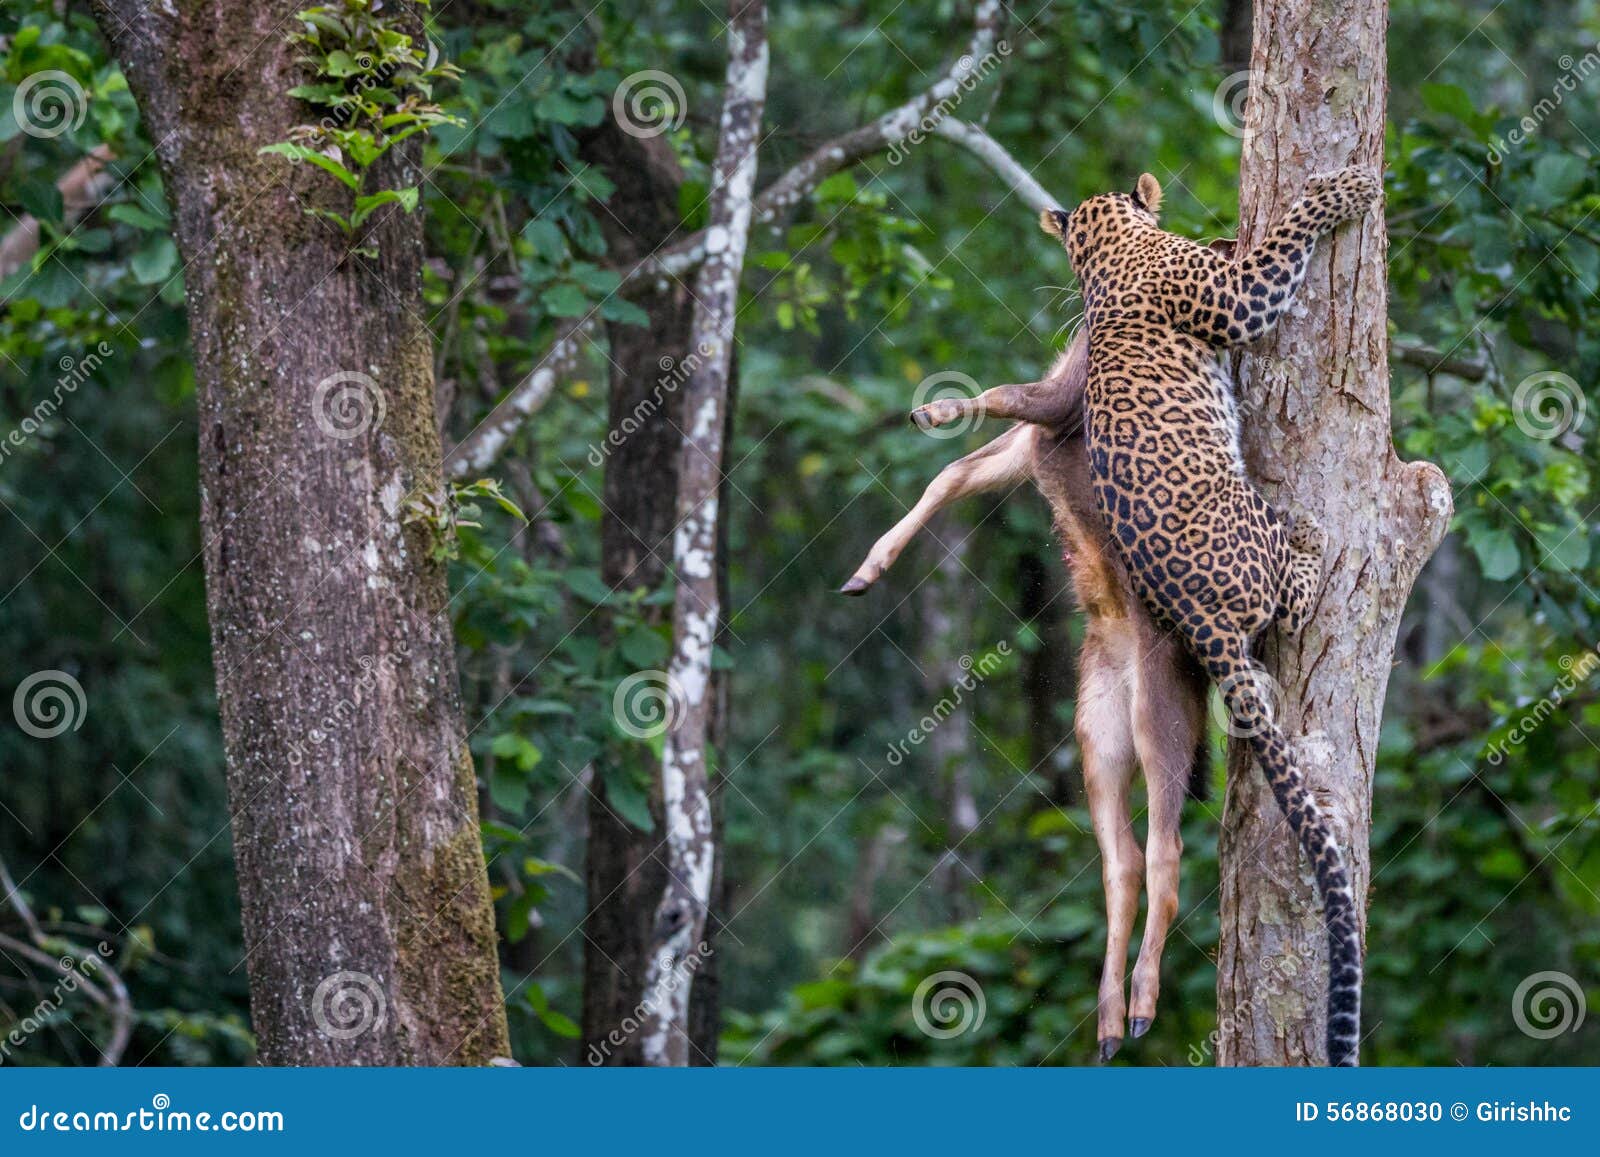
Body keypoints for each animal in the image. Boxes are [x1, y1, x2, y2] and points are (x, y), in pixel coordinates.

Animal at [1039, 165, 1383, 1066]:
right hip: (1249, 511)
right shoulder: (1235, 301)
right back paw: (1310, 544)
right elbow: (1275, 248)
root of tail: (1202, 625)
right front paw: (1346, 188)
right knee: (1290, 595)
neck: (1107, 254)